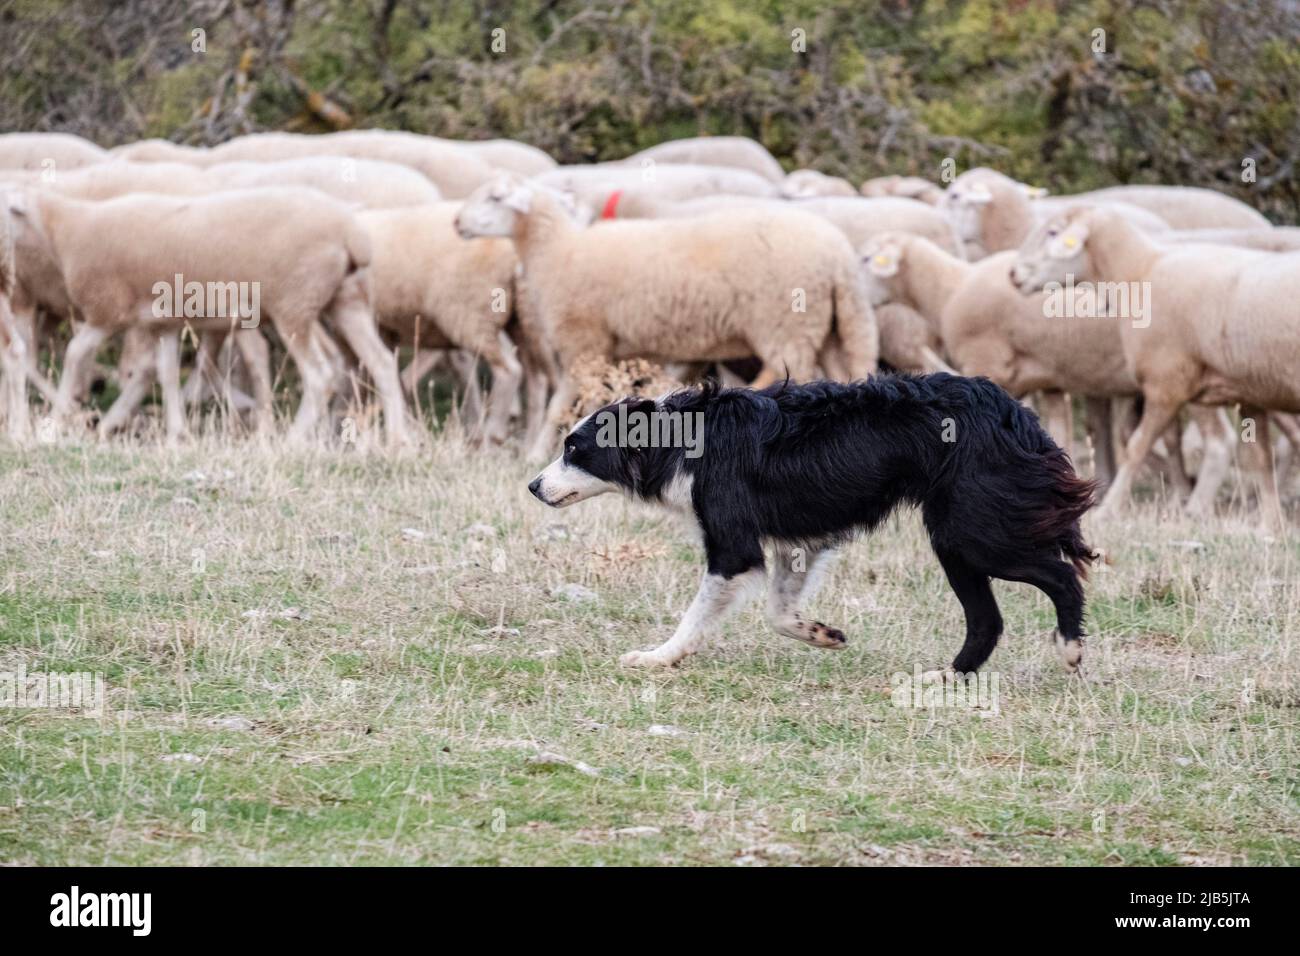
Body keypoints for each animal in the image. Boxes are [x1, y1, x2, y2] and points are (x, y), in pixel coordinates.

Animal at [4, 185, 410, 446]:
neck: (64, 229)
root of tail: (352, 233)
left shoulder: (107, 312)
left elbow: (75, 354)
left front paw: (54, 423)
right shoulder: (162, 322)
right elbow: (167, 373)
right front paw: (177, 434)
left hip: (293, 305)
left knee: (320, 374)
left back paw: (292, 441)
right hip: (345, 302)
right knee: (381, 362)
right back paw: (397, 441)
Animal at [454, 174, 878, 461]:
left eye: (495, 197)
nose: (457, 223)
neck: (558, 251)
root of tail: (838, 254)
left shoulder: (584, 340)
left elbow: (563, 403)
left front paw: (537, 451)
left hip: (785, 323)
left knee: (792, 375)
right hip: (828, 327)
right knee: (837, 377)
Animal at [1009, 204, 1300, 526]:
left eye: (1053, 231)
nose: (1013, 273)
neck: (1139, 271)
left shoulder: (1166, 385)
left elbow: (1135, 447)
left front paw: (1108, 509)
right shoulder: (1249, 392)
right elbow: (1260, 458)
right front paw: (1269, 524)